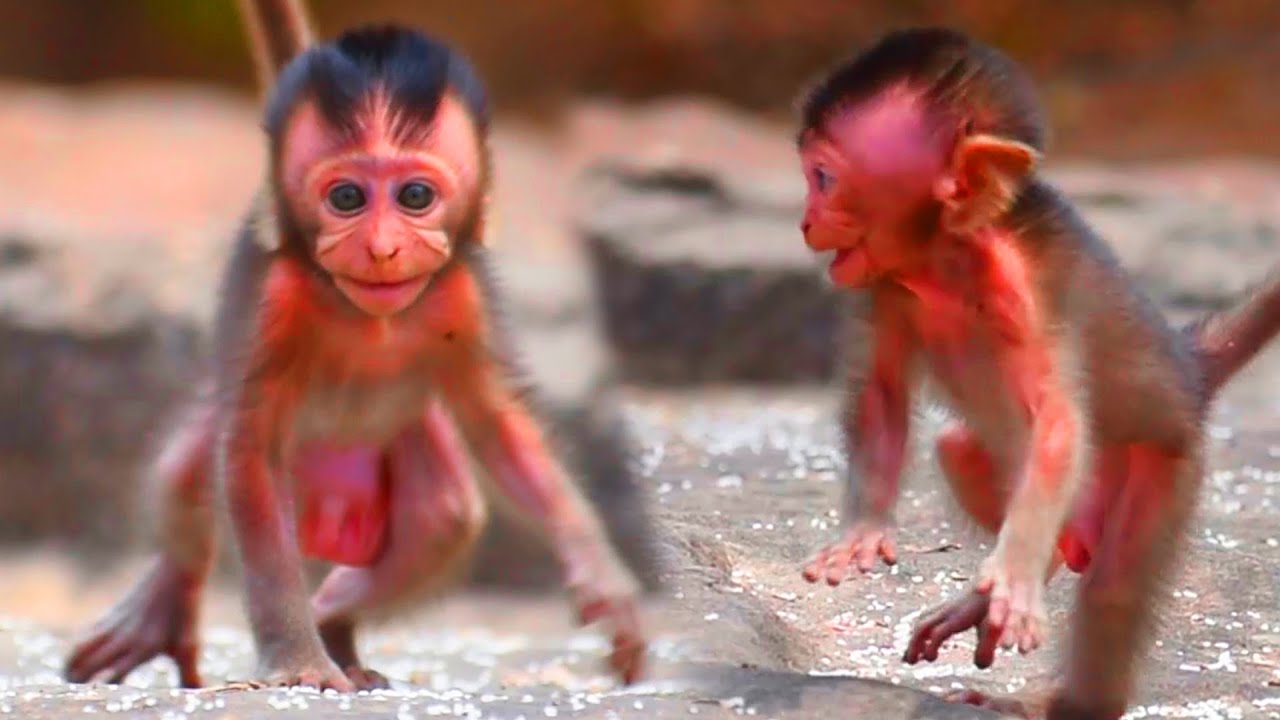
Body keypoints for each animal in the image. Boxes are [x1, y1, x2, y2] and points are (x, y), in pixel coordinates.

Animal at [62, 10, 646, 693]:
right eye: (347, 199)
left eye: (415, 197)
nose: (383, 248)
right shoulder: (276, 301)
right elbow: (253, 455)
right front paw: (297, 661)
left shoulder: (464, 298)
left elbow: (499, 425)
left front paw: (602, 576)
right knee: (184, 475)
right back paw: (167, 609)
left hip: (406, 437)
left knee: (444, 519)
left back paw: (334, 622)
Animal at [793, 27, 1280, 719]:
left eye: (824, 177)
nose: (806, 220)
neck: (948, 259)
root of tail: (1189, 369)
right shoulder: (884, 286)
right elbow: (881, 398)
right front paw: (861, 533)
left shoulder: (1021, 288)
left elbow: (1058, 420)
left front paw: (1016, 582)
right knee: (961, 451)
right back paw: (1024, 572)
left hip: (1164, 465)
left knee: (1114, 583)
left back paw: (1064, 696)